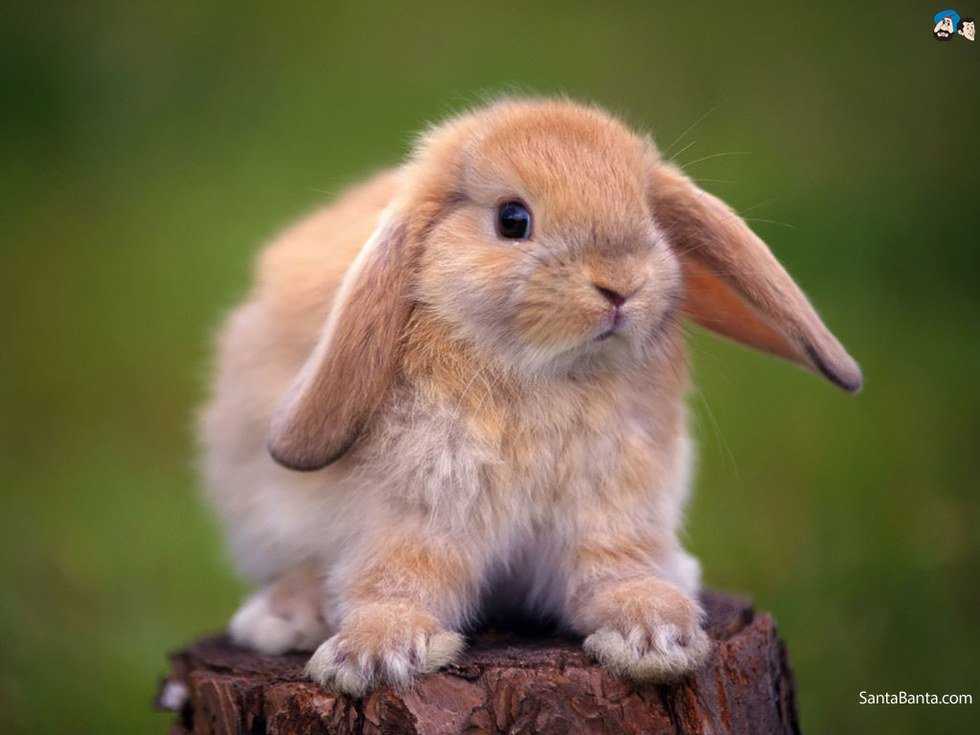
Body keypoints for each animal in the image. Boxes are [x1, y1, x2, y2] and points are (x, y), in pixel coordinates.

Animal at [199, 97, 861, 696]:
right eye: (513, 219)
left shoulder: (612, 507)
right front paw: (370, 657)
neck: (546, 374)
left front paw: (656, 637)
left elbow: (613, 574)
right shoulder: (416, 511)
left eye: (648, 214)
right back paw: (284, 618)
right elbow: (398, 580)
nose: (621, 285)